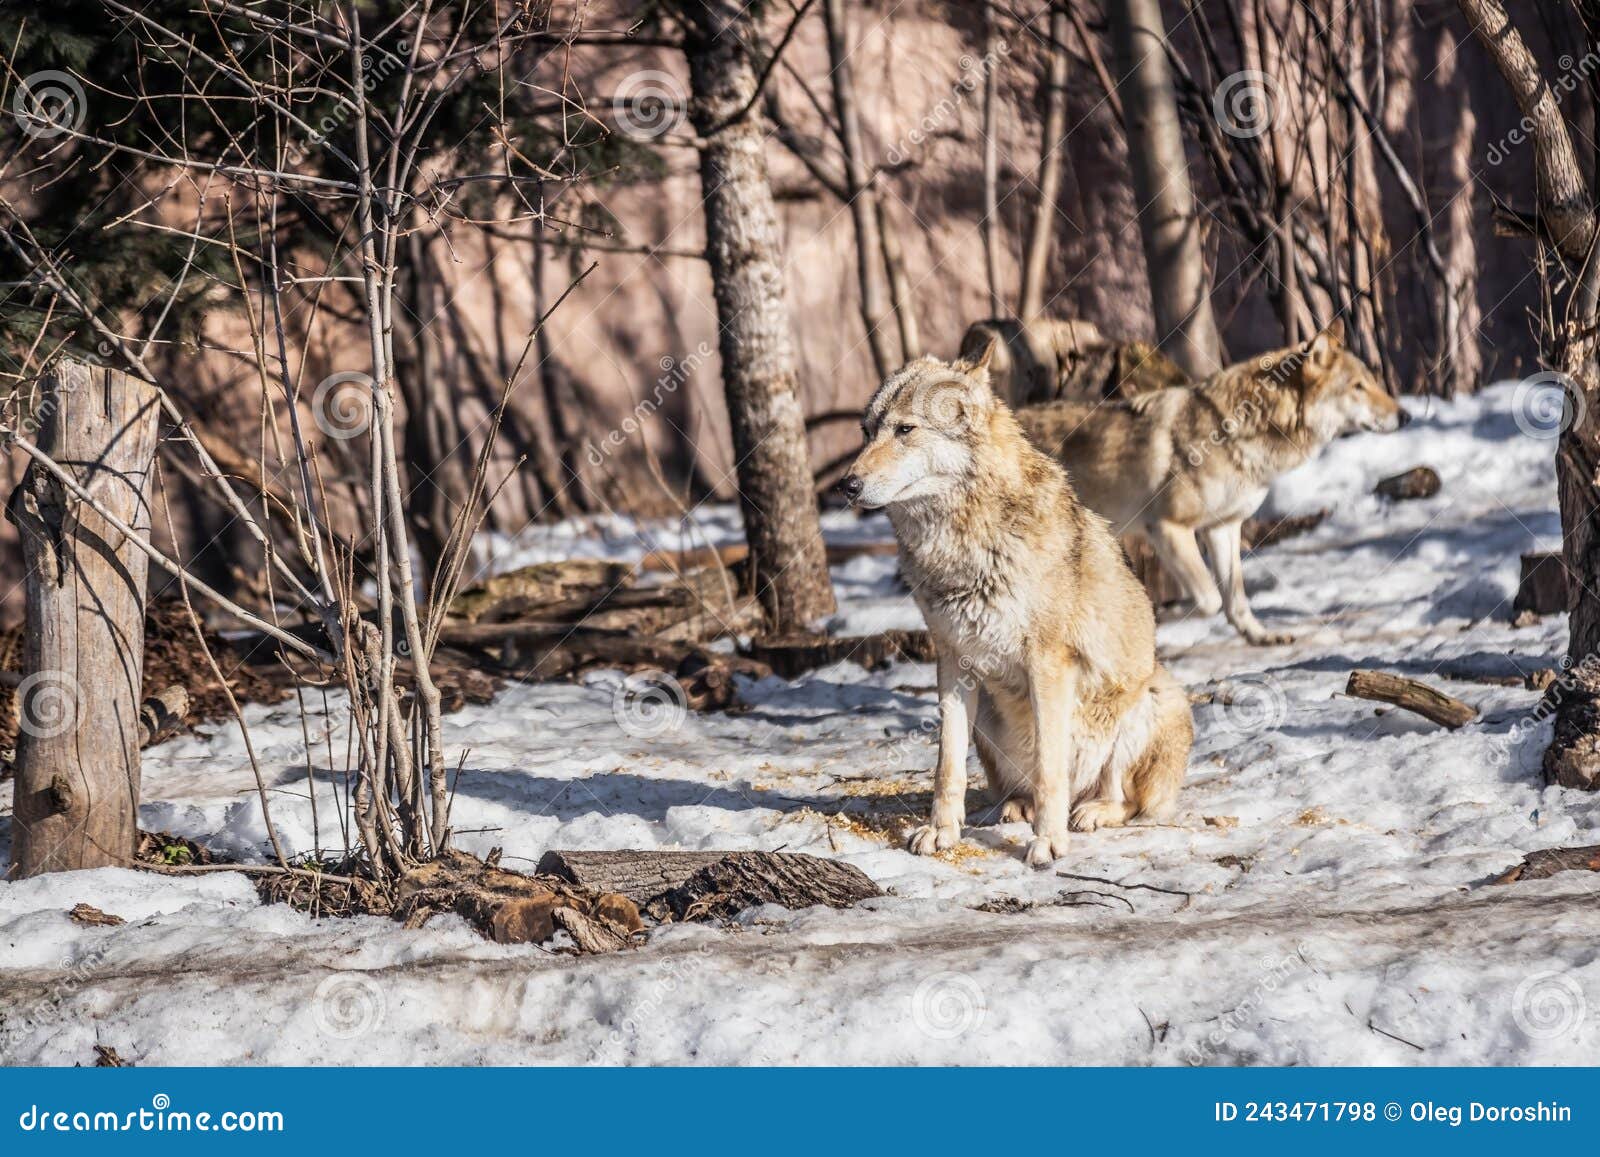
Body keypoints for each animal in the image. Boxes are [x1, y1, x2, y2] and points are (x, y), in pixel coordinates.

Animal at [839, 342, 1193, 867]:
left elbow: (1050, 768)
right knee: (1018, 786)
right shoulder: (952, 660)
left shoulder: (1048, 664)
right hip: (988, 712)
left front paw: (1048, 842)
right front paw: (941, 832)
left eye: (905, 429)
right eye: (867, 432)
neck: (962, 545)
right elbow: (947, 766)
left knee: (1124, 800)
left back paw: (1088, 813)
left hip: (1154, 695)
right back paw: (1017, 807)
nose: (847, 486)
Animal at [1015, 321, 1407, 645]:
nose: (1405, 415)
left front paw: (1259, 637)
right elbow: (1209, 599)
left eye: (1372, 382)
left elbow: (1235, 599)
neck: (1239, 429)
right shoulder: (1168, 527)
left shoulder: (1223, 527)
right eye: (1358, 387)